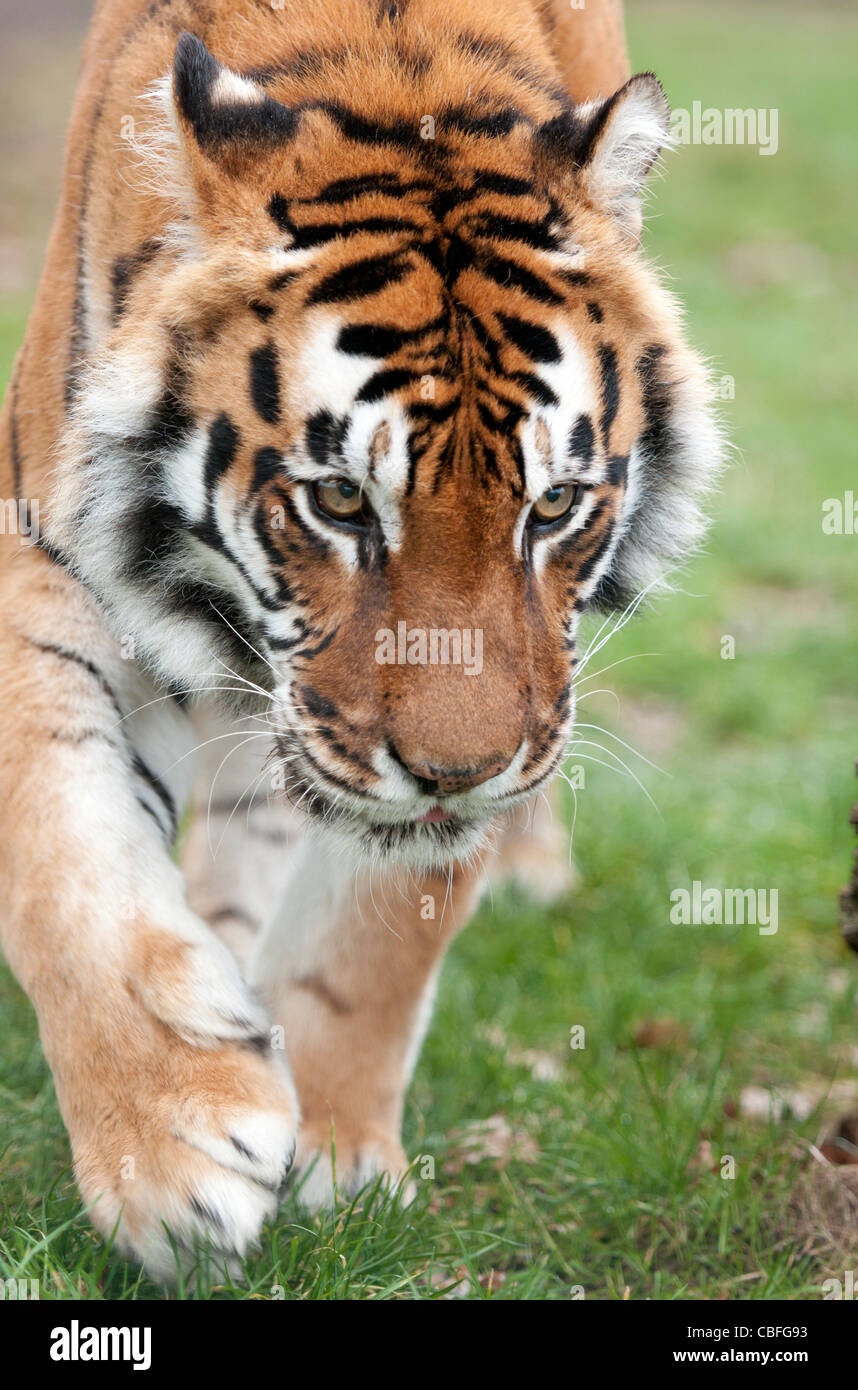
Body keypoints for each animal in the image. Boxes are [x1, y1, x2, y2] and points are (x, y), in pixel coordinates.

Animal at [0, 0, 721, 1282]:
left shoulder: (511, 721)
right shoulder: (53, 549)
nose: (455, 770)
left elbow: (378, 934)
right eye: (339, 500)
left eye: (554, 505)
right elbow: (60, 840)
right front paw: (175, 1150)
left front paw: (335, 1156)